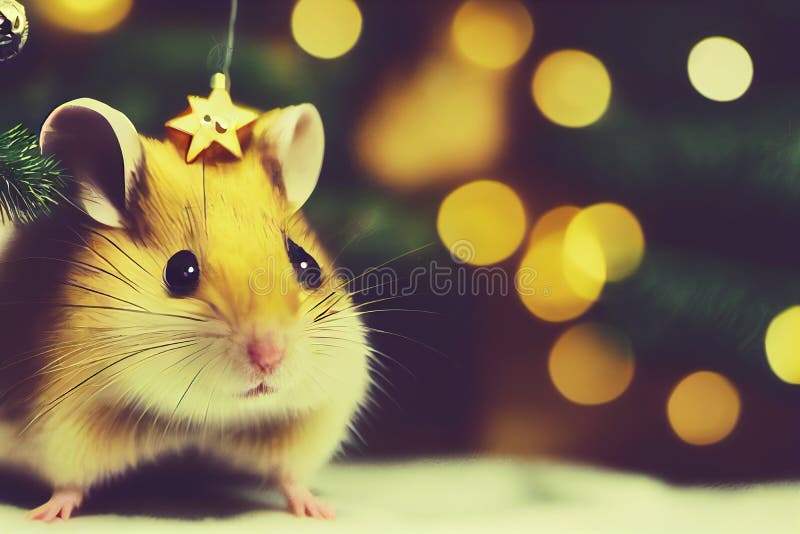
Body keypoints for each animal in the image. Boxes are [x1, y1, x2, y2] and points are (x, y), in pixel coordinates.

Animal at [0, 97, 371, 521]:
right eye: (180, 271)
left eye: (307, 265)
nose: (270, 358)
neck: (202, 420)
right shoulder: (63, 429)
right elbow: (68, 484)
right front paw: (42, 516)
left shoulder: (311, 420)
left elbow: (290, 477)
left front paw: (321, 512)